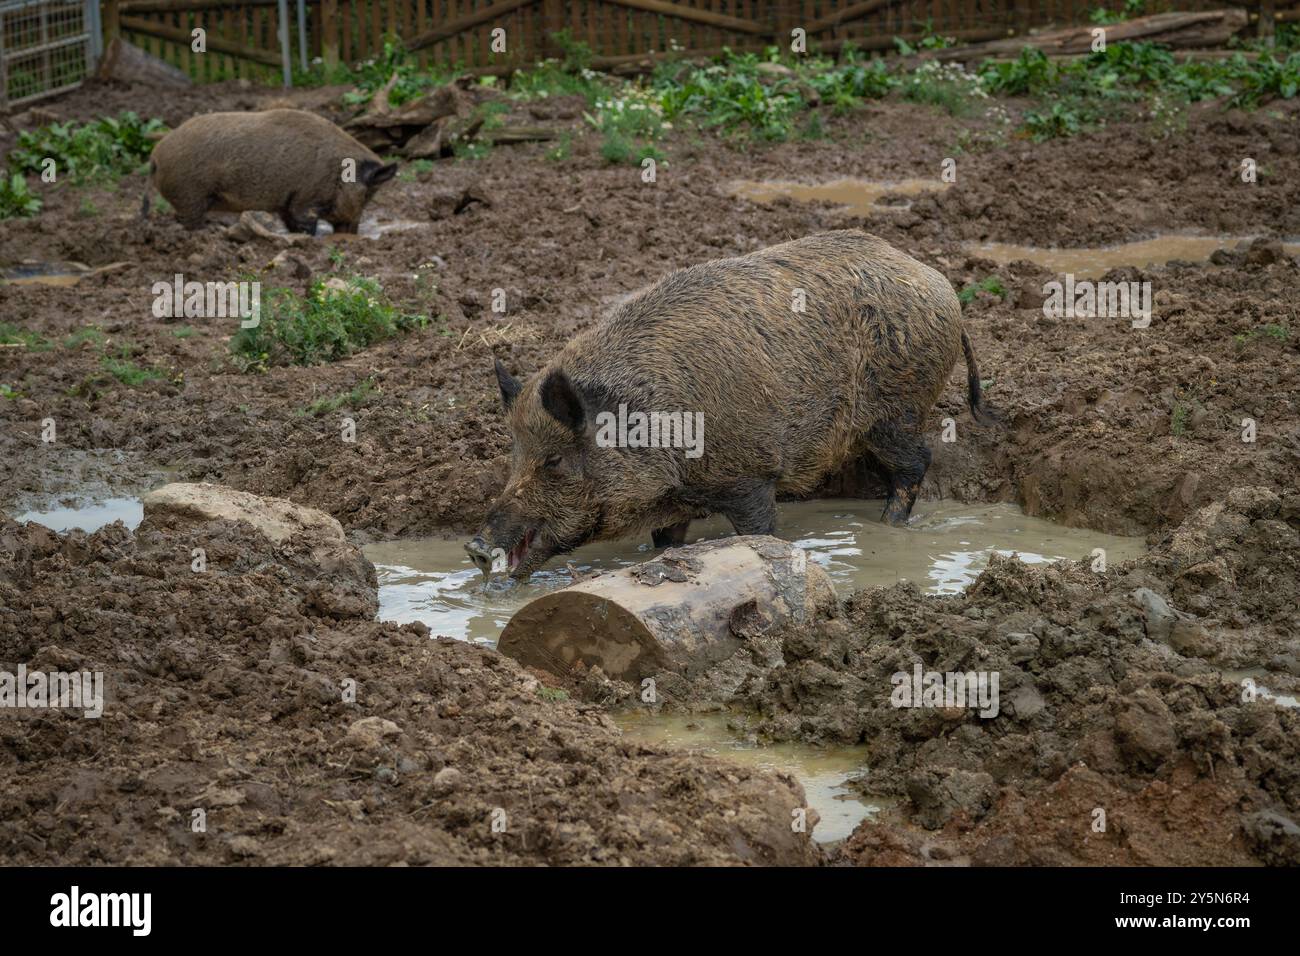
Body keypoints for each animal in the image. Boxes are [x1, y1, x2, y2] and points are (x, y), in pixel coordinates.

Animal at [145, 109, 398, 234]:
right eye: (366, 195)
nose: (353, 233)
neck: (339, 172)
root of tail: (156, 156)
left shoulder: (288, 202)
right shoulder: (306, 197)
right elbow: (305, 221)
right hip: (190, 195)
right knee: (188, 221)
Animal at [465, 230, 986, 579]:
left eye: (553, 460)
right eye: (514, 454)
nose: (475, 546)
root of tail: (939, 283)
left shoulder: (749, 476)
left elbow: (760, 532)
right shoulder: (674, 504)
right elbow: (666, 541)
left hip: (897, 410)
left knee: (915, 462)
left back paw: (889, 525)